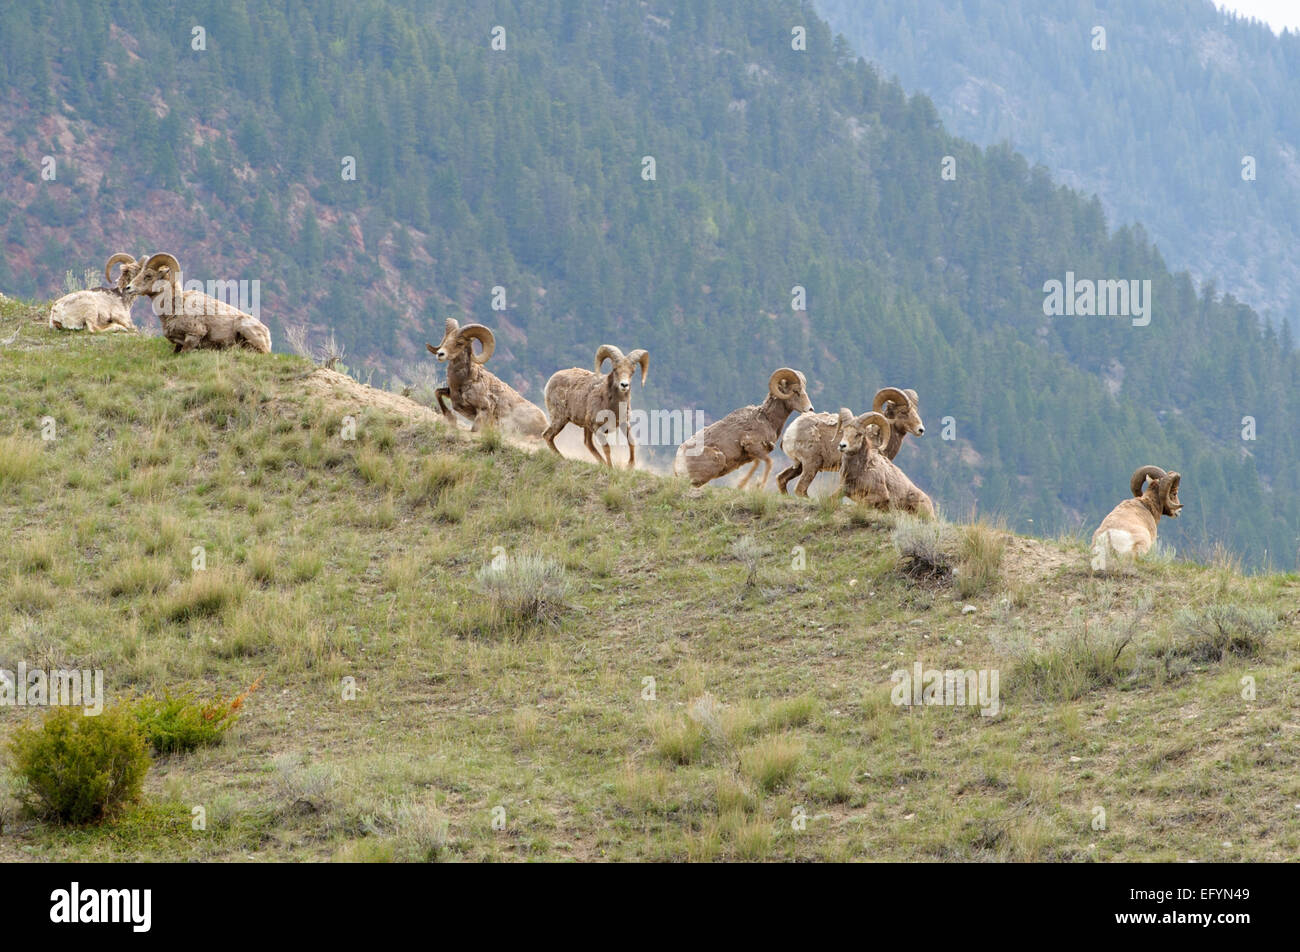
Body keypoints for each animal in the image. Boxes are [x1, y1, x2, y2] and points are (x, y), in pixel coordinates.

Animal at [126, 252, 272, 353]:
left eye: (148, 275)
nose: (128, 288)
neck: (175, 308)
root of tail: (267, 334)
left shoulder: (194, 335)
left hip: (244, 328)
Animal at [672, 368, 813, 488]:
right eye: (795, 391)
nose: (810, 409)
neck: (767, 419)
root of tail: (679, 462)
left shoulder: (755, 453)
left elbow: (757, 464)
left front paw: (741, 485)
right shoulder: (752, 445)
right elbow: (769, 463)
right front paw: (758, 487)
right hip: (718, 459)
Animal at [777, 387, 924, 496]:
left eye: (916, 411)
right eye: (903, 412)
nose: (921, 429)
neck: (878, 436)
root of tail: (791, 430)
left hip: (799, 466)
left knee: (781, 479)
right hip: (811, 465)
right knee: (800, 489)